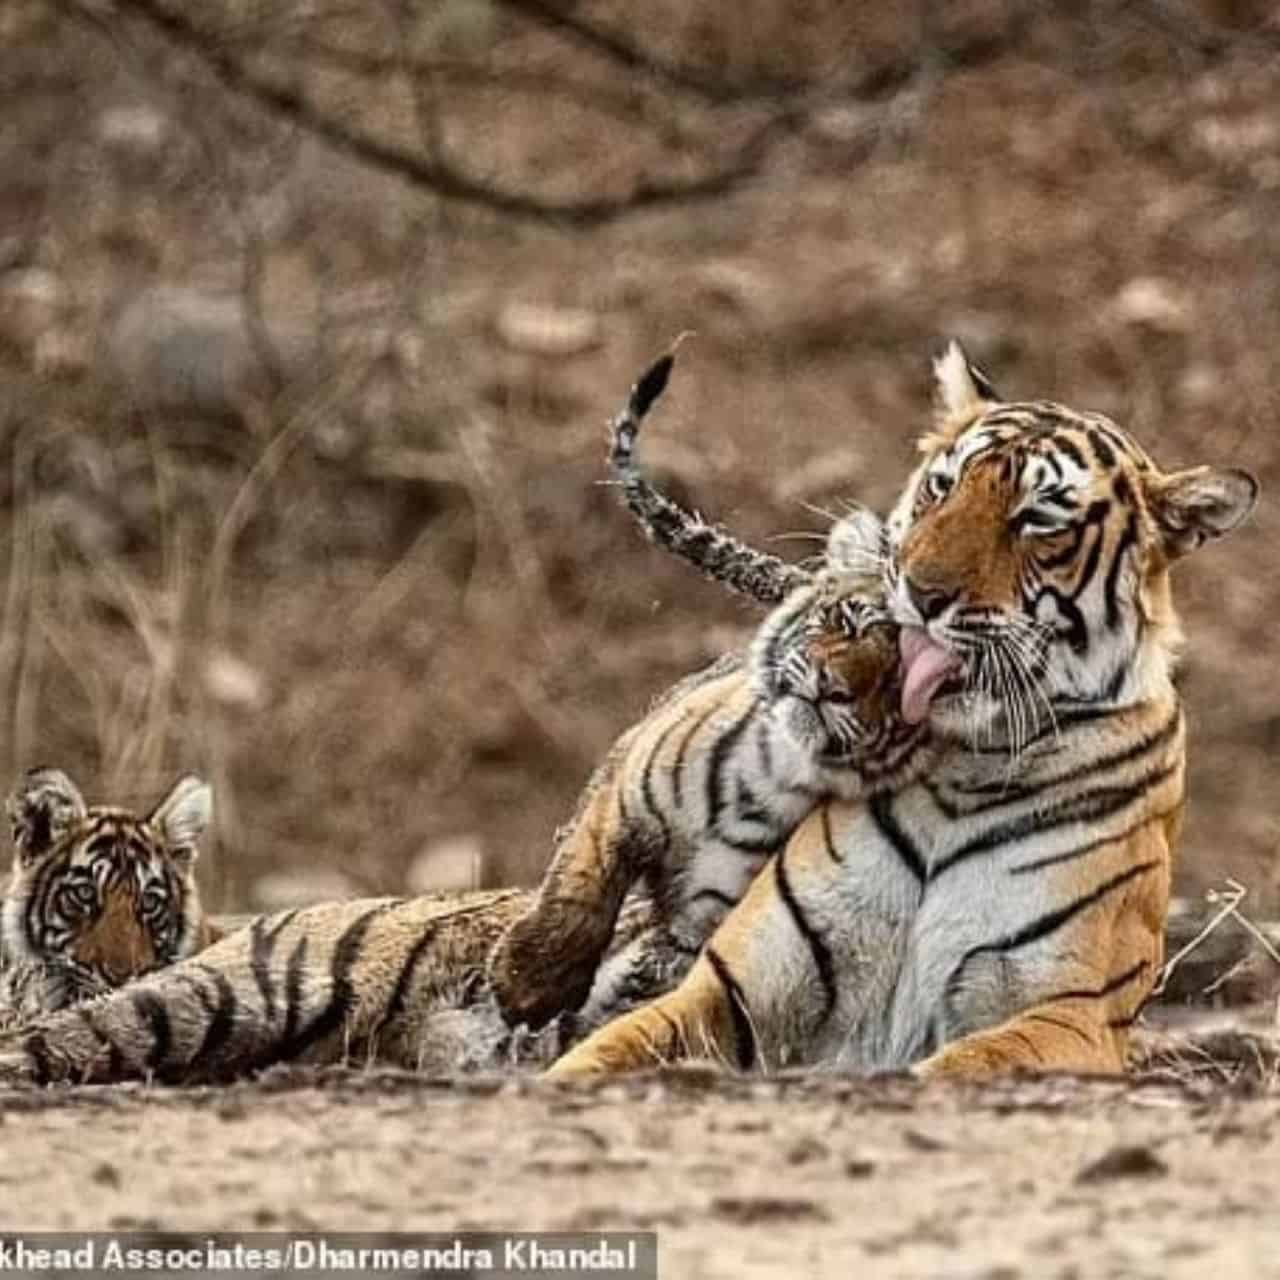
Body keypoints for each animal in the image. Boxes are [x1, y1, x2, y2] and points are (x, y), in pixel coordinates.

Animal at [548, 340, 1259, 1080]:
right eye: (942, 487)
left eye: (1037, 519)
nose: (919, 592)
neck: (969, 768)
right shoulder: (732, 988)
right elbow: (606, 1050)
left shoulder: (1071, 1014)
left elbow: (965, 1062)